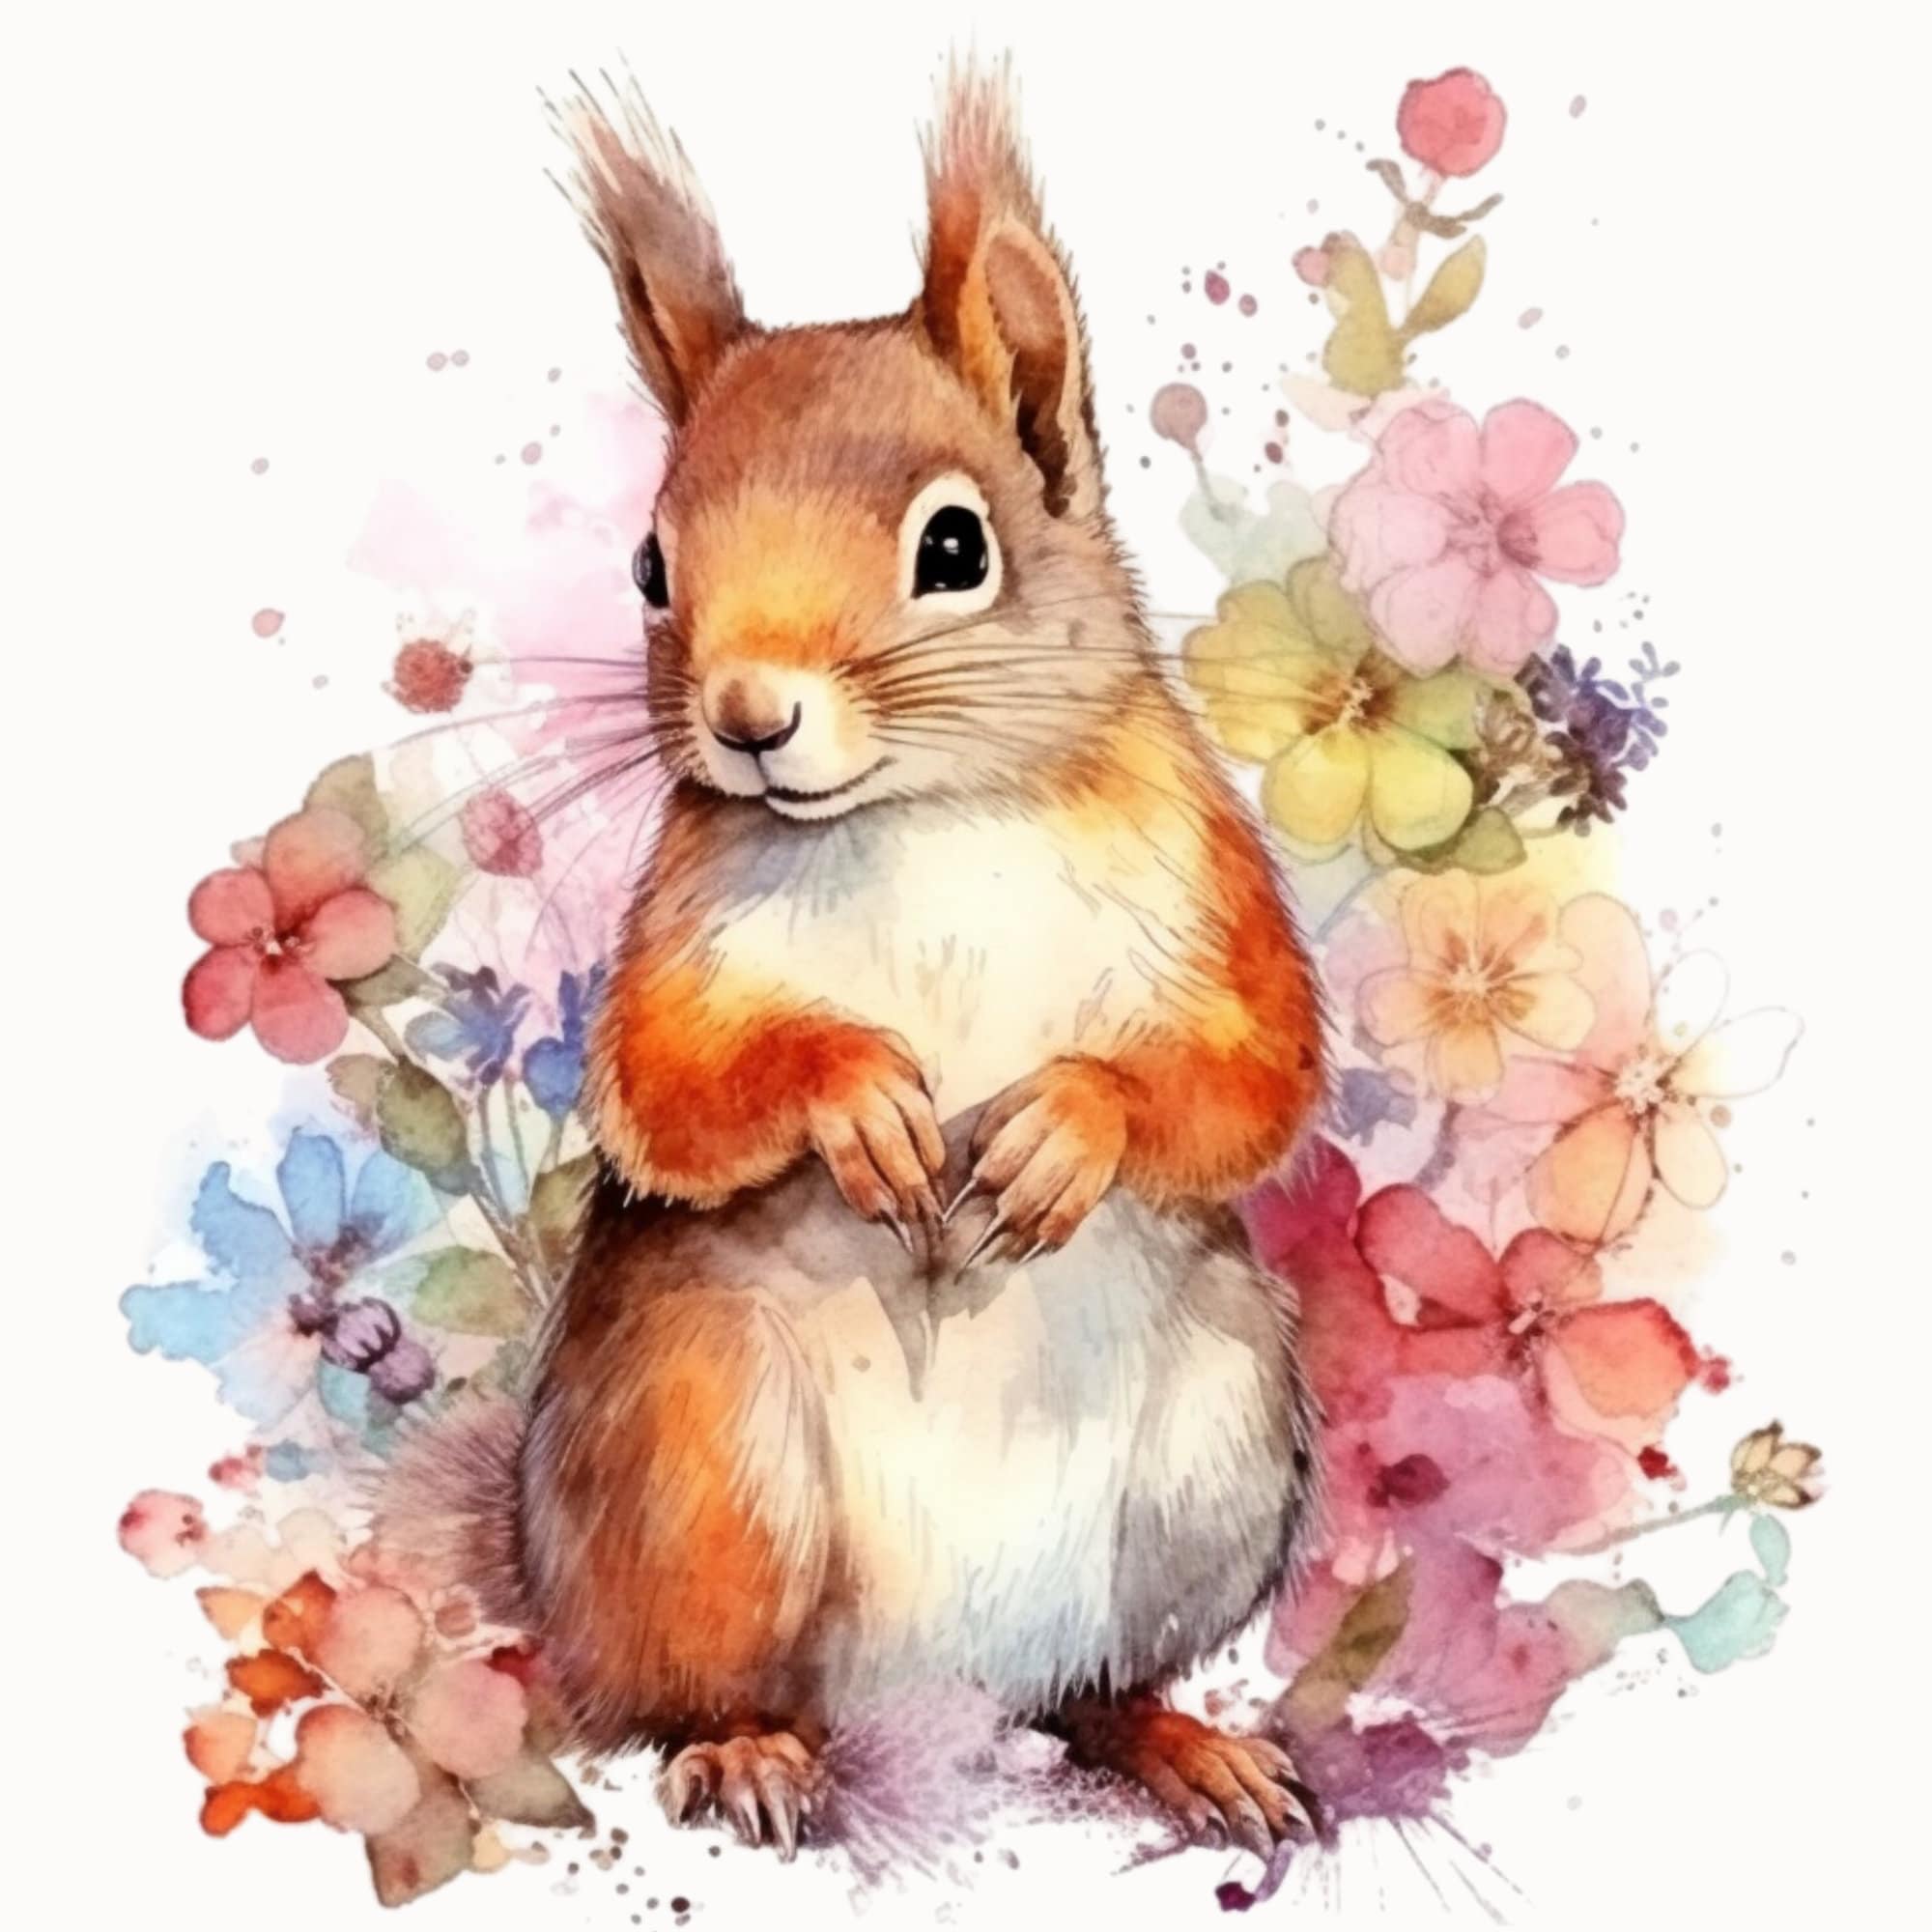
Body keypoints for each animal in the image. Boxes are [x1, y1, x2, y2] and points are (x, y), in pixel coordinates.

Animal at [377, 66, 1327, 1863]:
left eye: (955, 549)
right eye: (652, 566)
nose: (749, 718)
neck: (929, 806)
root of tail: (933, 1698)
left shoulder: (1215, 884)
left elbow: (1253, 1070)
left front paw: (1063, 1129)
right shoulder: (683, 931)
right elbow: (668, 1089)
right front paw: (865, 1104)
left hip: (1221, 1454)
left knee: (1092, 1692)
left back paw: (1191, 1751)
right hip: (702, 1458)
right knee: (689, 1688)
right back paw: (753, 1752)